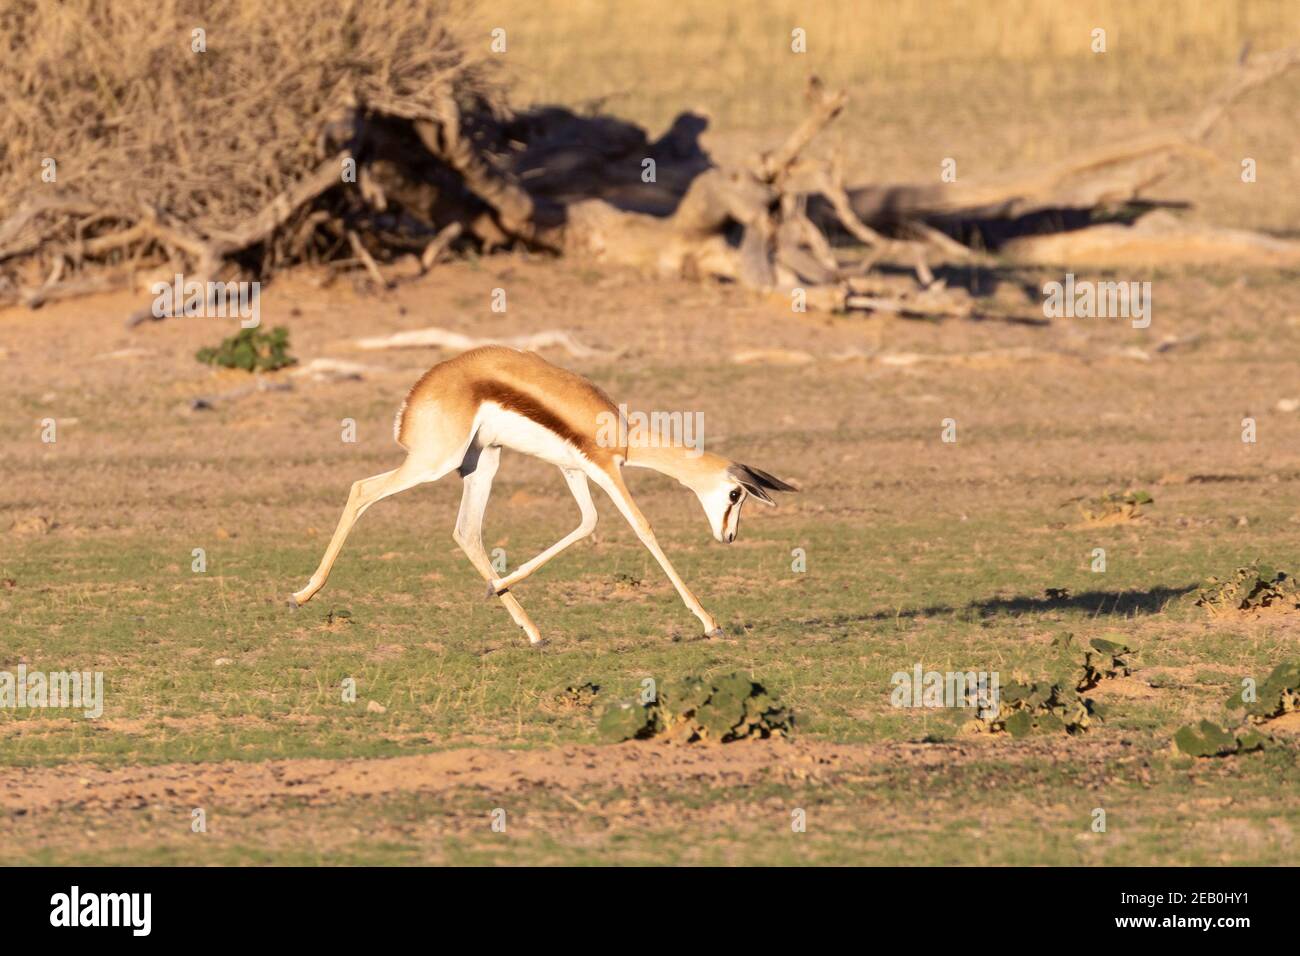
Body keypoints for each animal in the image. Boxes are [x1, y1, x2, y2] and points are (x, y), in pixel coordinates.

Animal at [290, 345, 796, 645]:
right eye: (735, 495)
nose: (729, 537)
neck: (625, 433)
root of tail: (417, 394)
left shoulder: (573, 470)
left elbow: (588, 523)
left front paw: (499, 585)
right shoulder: (607, 470)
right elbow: (643, 527)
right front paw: (710, 622)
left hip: (482, 461)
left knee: (466, 532)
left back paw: (531, 629)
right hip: (436, 463)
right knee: (362, 489)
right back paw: (302, 595)